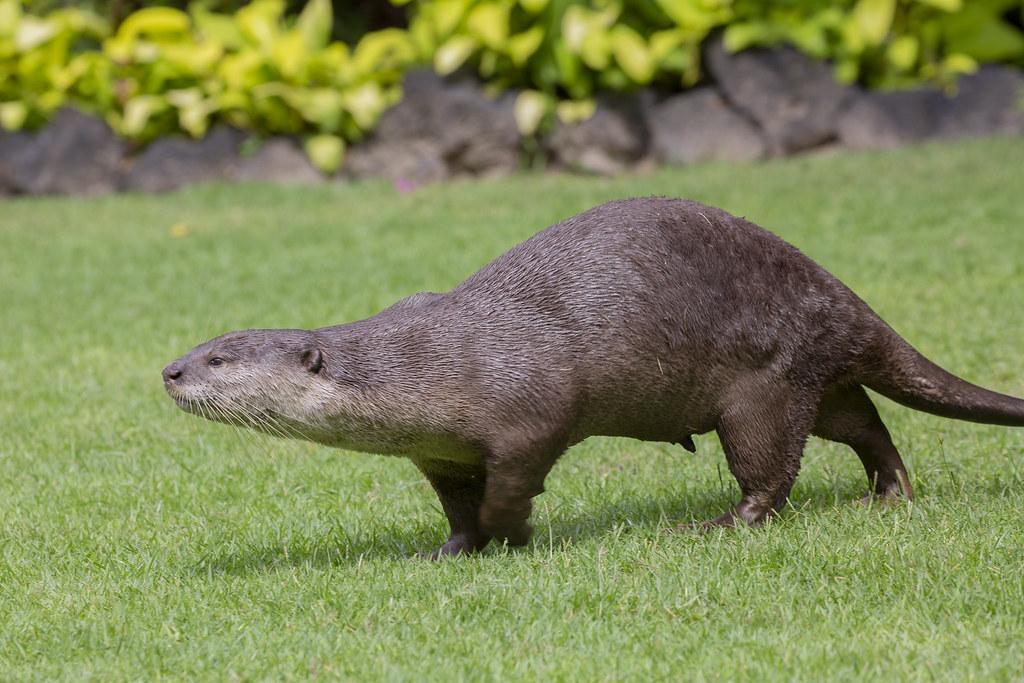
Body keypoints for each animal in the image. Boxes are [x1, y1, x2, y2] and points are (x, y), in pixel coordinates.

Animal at [163, 197, 1024, 558]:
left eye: (220, 358)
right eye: (203, 344)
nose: (169, 369)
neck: (426, 365)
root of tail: (836, 295)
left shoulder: (528, 411)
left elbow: (514, 479)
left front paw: (511, 535)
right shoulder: (438, 451)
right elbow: (455, 502)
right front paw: (449, 549)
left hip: (759, 387)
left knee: (770, 475)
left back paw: (713, 526)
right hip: (805, 377)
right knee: (864, 420)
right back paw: (890, 492)